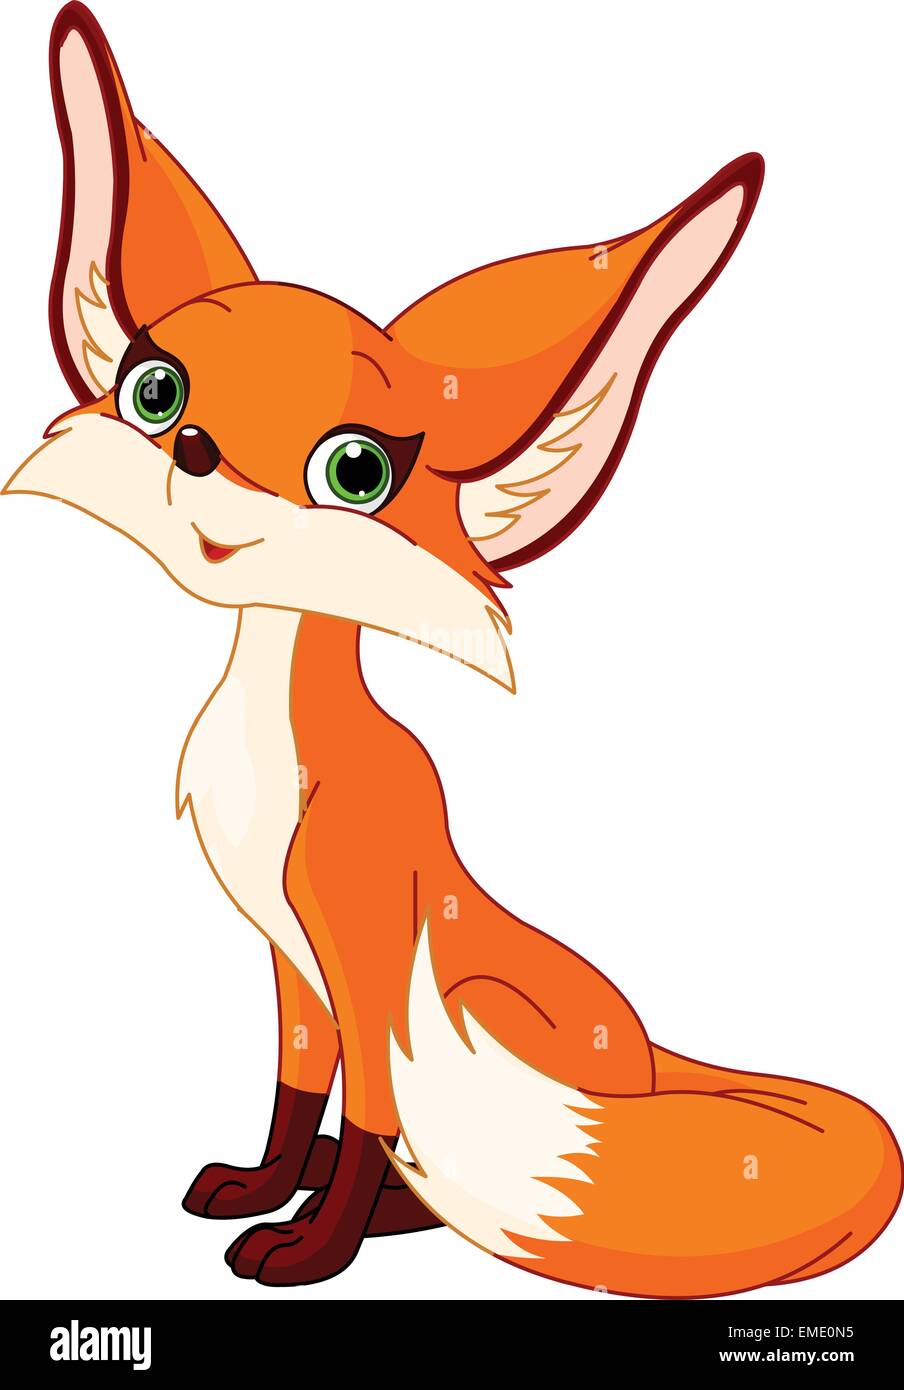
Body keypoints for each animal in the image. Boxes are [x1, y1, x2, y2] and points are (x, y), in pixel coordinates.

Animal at [6, 1, 901, 1297]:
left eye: (356, 470)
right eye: (154, 390)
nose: (198, 456)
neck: (269, 748)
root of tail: (647, 1051)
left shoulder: (366, 945)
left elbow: (364, 1118)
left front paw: (314, 1244)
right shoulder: (292, 962)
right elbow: (297, 1094)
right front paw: (267, 1188)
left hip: (478, 1013)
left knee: (430, 1159)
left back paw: (390, 1216)